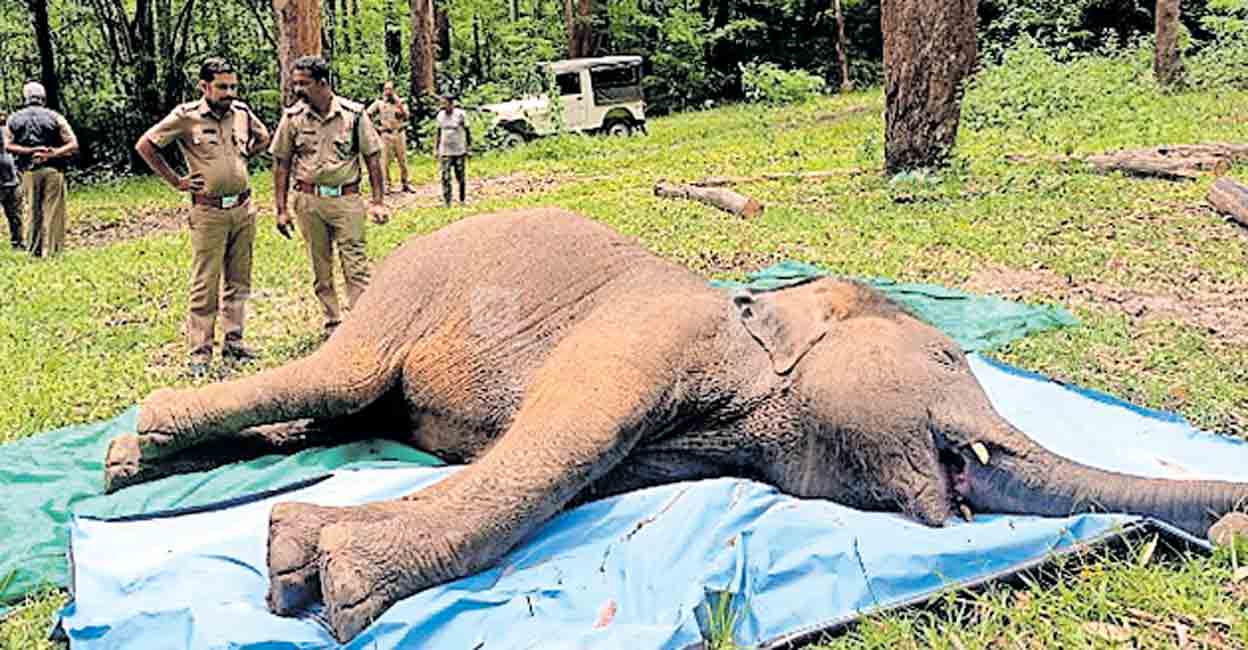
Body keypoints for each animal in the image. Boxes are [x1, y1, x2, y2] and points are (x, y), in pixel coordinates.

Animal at [102, 207, 1248, 643]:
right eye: (949, 360)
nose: (1231, 530)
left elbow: (584, 471)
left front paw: (308, 557)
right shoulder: (649, 336)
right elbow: (559, 446)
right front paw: (311, 576)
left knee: (342, 413)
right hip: (407, 294)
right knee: (337, 380)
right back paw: (128, 454)